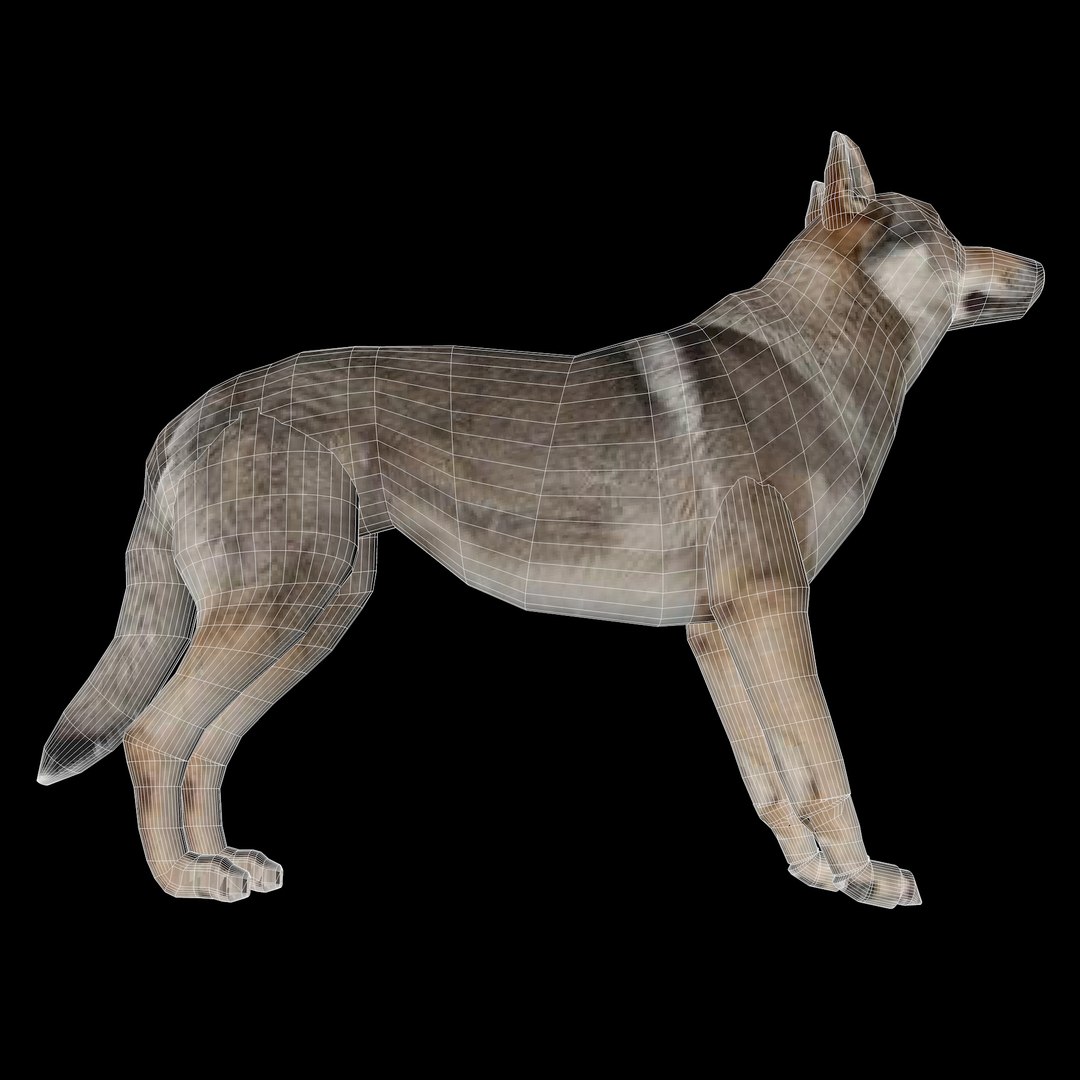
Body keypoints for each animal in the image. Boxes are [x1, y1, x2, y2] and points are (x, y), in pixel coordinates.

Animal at [38, 133, 1043, 906]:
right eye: (948, 236)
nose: (1040, 265)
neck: (820, 361)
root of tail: (194, 410)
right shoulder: (772, 609)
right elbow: (825, 764)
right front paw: (865, 878)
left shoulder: (718, 630)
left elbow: (772, 774)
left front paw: (814, 875)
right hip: (281, 610)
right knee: (156, 735)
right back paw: (186, 881)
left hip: (313, 616)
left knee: (205, 744)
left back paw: (220, 861)